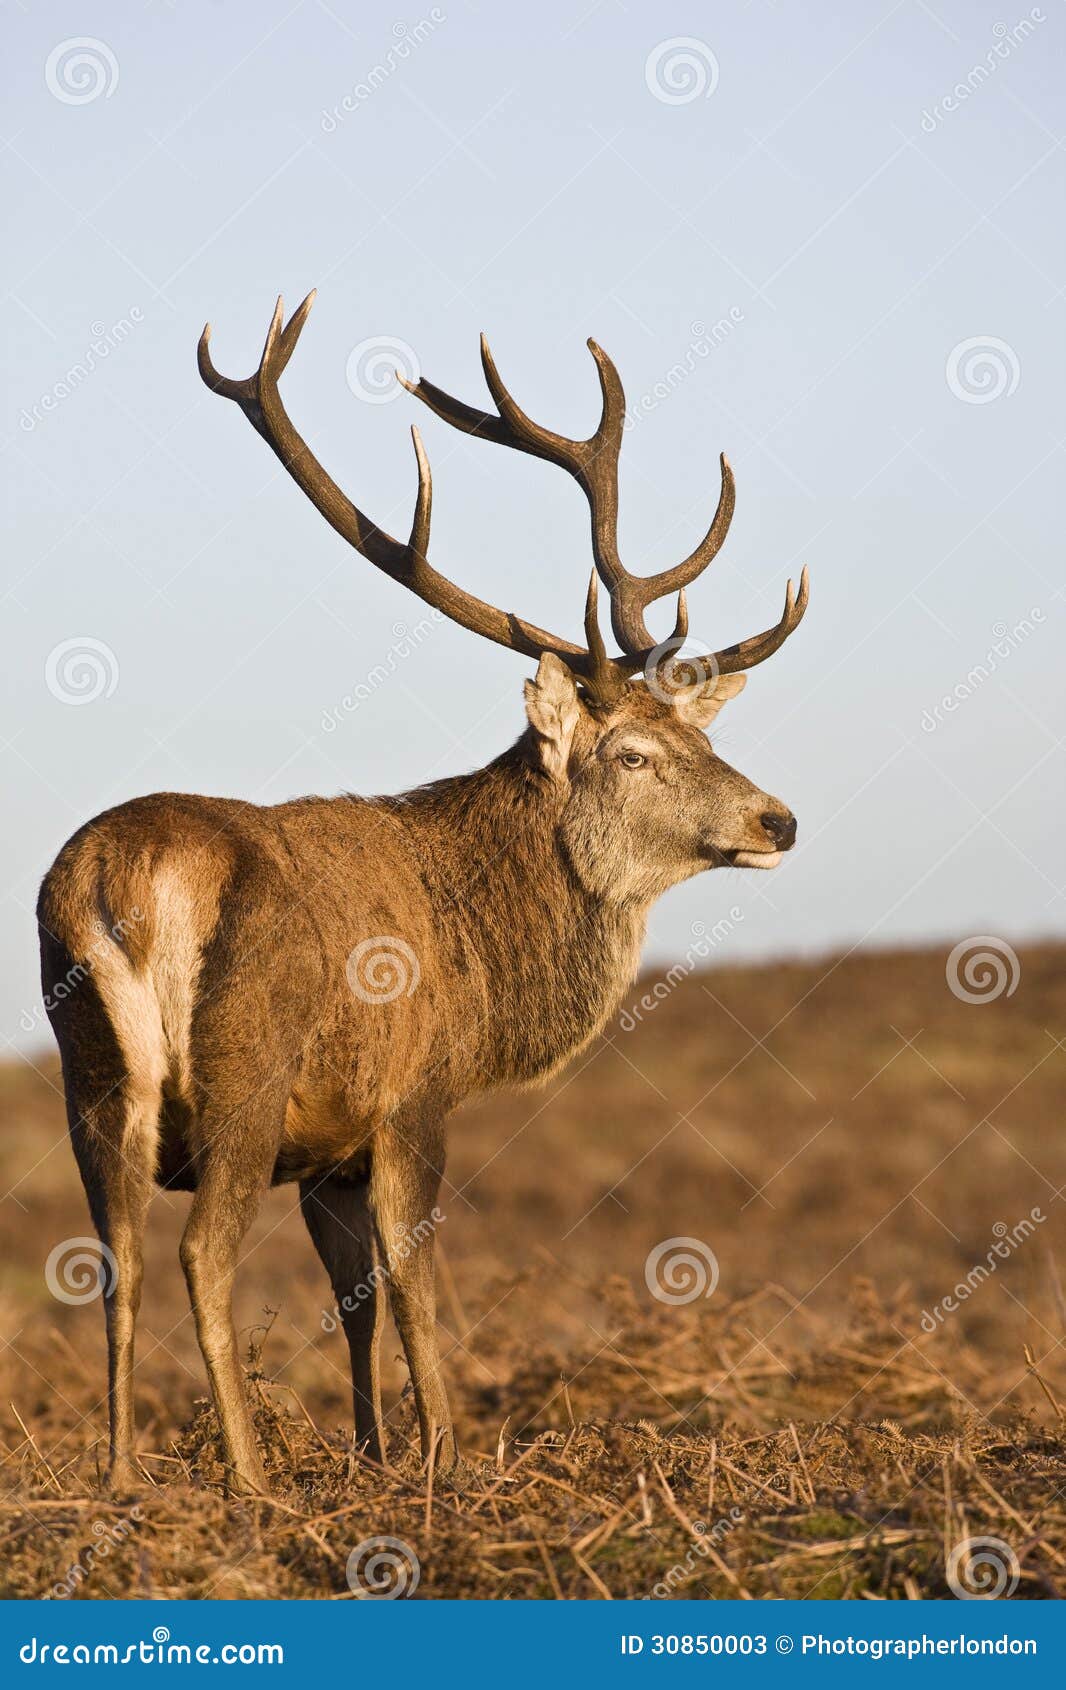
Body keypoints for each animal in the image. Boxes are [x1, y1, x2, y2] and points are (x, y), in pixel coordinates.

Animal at [38, 292, 808, 1497]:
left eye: (702, 737)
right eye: (633, 753)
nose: (778, 820)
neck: (484, 957)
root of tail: (124, 874)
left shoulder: (328, 1151)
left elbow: (351, 1299)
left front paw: (371, 1451)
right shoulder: (411, 1096)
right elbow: (413, 1279)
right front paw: (446, 1457)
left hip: (90, 1072)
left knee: (112, 1256)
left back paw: (122, 1475)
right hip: (247, 1065)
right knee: (200, 1250)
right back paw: (248, 1478)